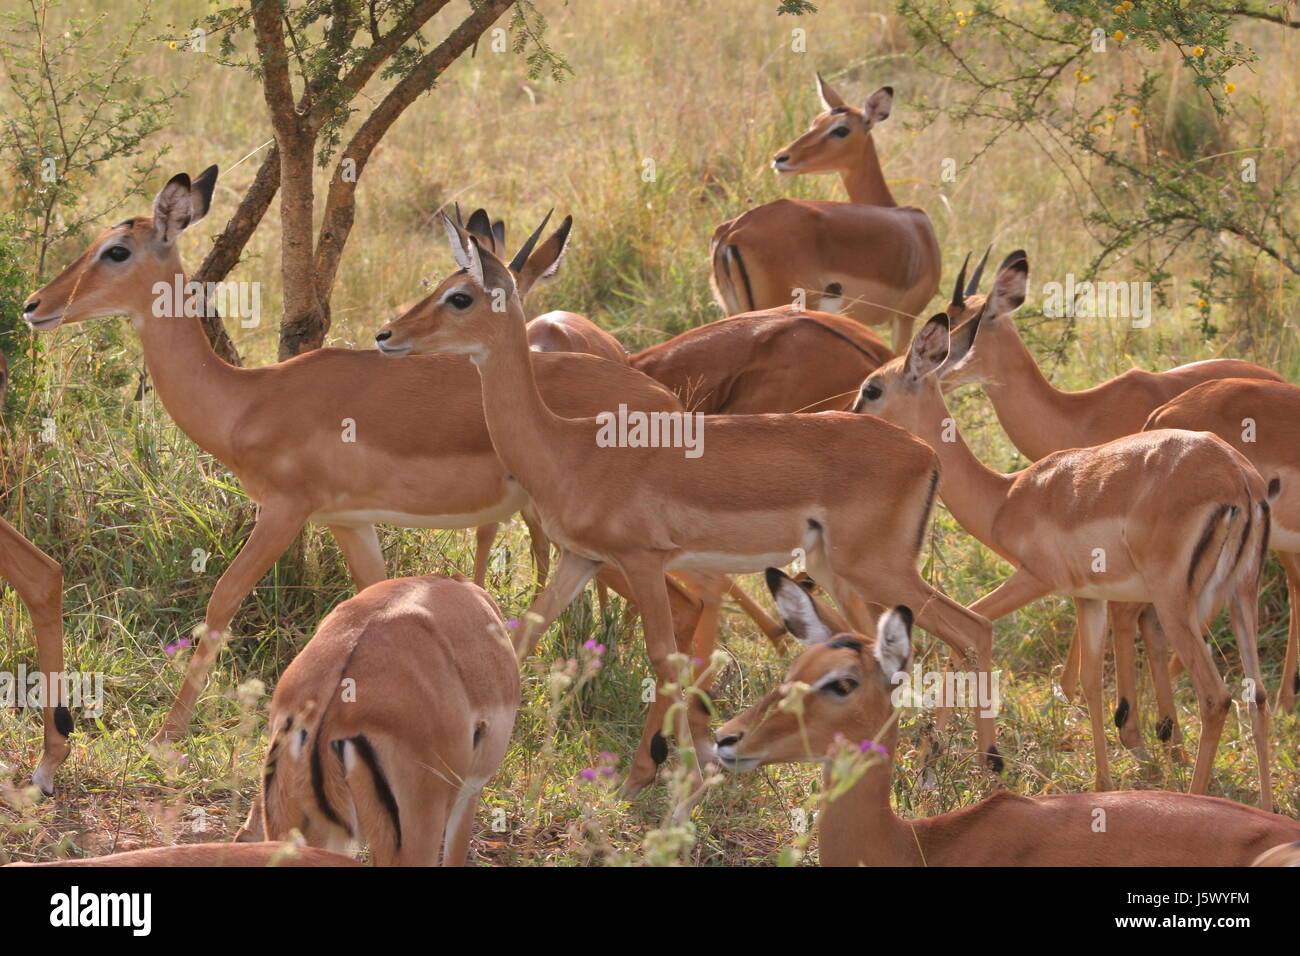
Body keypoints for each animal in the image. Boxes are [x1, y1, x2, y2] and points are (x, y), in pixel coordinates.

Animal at [21, 166, 706, 747]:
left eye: (117, 250)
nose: (35, 305)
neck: (249, 399)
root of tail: (666, 400)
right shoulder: (350, 523)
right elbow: (375, 598)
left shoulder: (283, 511)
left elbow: (221, 600)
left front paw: (167, 737)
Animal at [372, 211, 998, 795]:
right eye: (442, 281)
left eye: (461, 295)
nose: (386, 335)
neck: (567, 447)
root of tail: (926, 454)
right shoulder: (583, 558)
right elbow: (524, 632)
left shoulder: (643, 562)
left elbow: (663, 657)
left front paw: (655, 777)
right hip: (836, 569)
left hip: (875, 568)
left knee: (972, 630)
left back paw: (981, 766)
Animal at [710, 73, 940, 349]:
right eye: (817, 122)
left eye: (840, 129)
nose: (781, 158)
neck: (918, 230)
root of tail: (732, 233)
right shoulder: (905, 319)